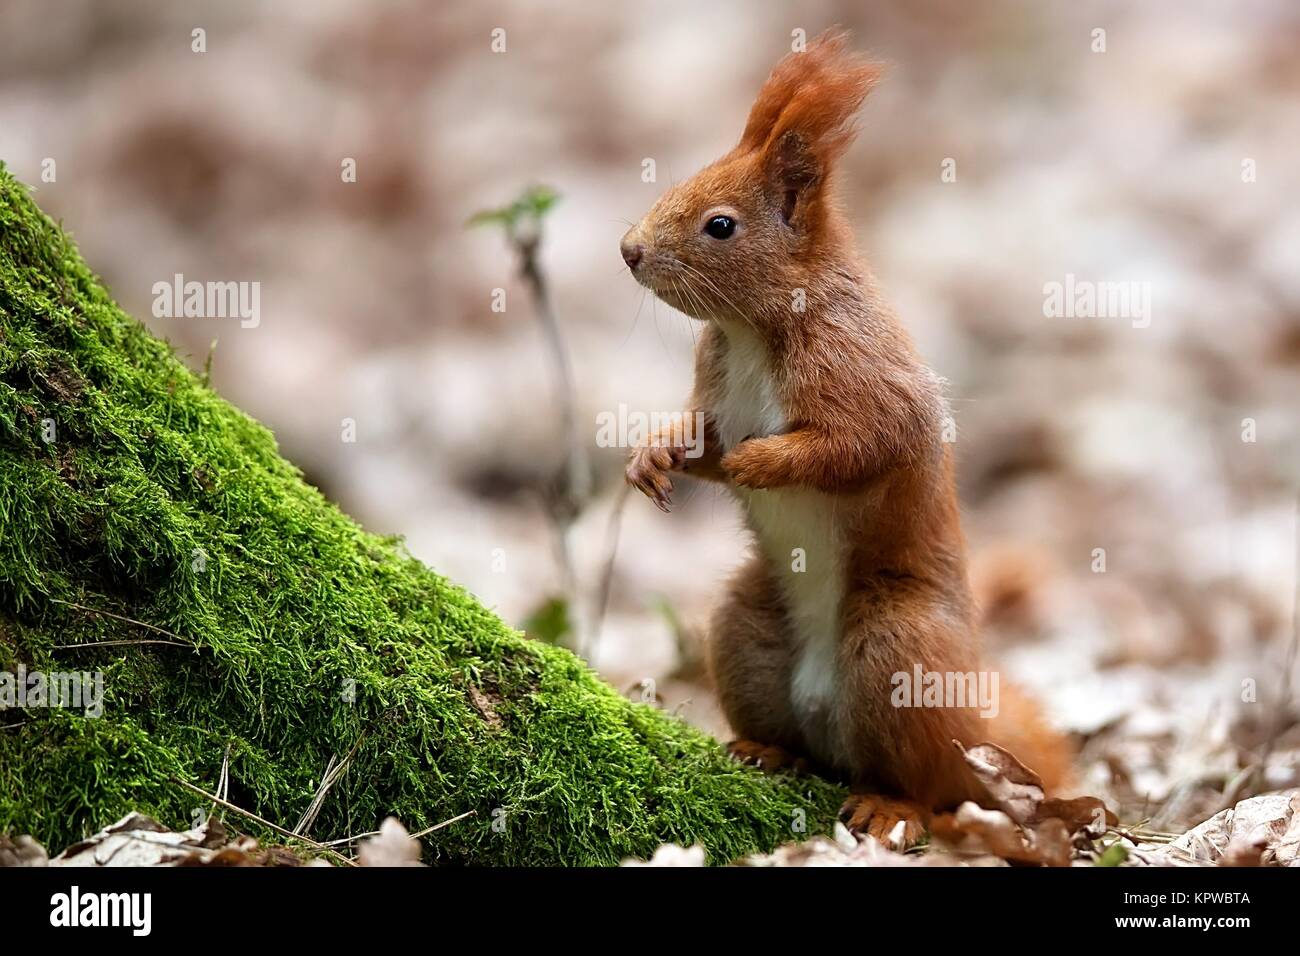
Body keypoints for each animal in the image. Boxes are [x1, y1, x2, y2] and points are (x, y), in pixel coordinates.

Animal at [620, 30, 1070, 844]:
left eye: (721, 225)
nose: (628, 250)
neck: (755, 327)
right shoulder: (716, 387)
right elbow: (703, 440)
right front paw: (652, 453)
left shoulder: (861, 372)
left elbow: (861, 443)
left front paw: (764, 461)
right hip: (745, 628)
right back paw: (764, 748)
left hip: (899, 649)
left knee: (928, 784)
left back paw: (892, 804)